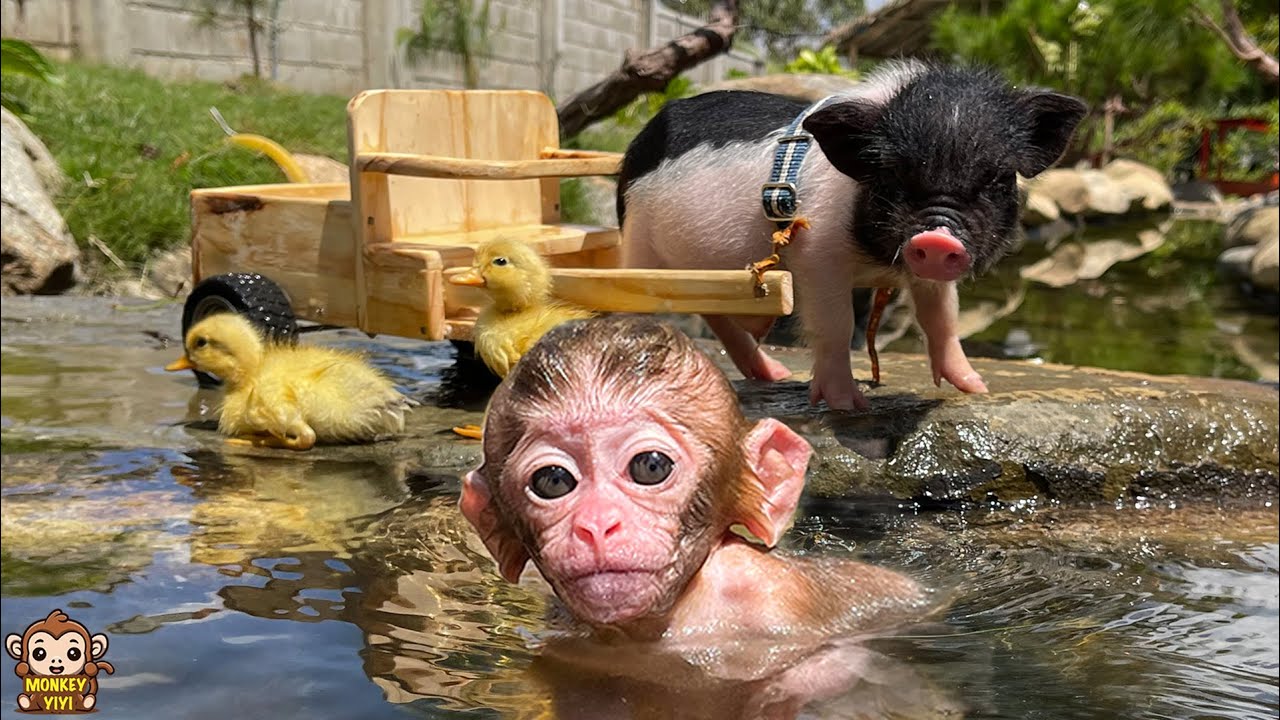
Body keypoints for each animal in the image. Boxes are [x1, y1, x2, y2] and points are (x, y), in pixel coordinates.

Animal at [617, 59, 1088, 410]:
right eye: (894, 173)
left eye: (995, 177)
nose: (937, 238)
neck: (874, 258)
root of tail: (638, 145)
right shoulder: (817, 257)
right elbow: (837, 325)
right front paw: (848, 405)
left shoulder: (926, 277)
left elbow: (942, 319)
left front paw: (975, 387)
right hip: (638, 244)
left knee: (716, 314)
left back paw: (772, 376)